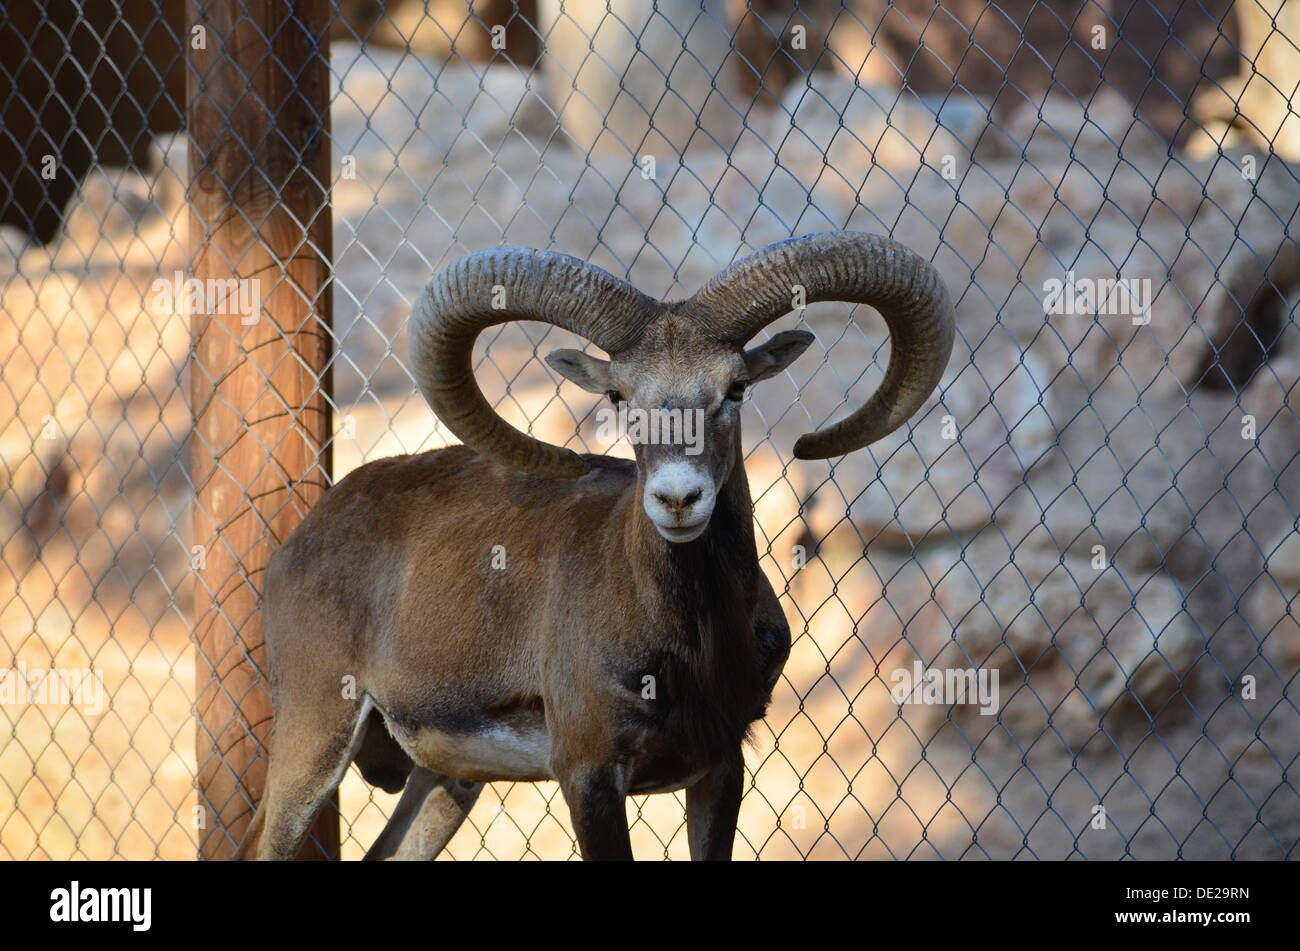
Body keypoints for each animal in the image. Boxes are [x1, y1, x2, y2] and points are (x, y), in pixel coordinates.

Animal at [233, 231, 955, 860]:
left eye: (736, 388)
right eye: (618, 393)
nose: (678, 499)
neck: (683, 644)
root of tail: (301, 539)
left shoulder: (719, 771)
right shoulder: (588, 776)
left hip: (445, 783)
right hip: (315, 735)